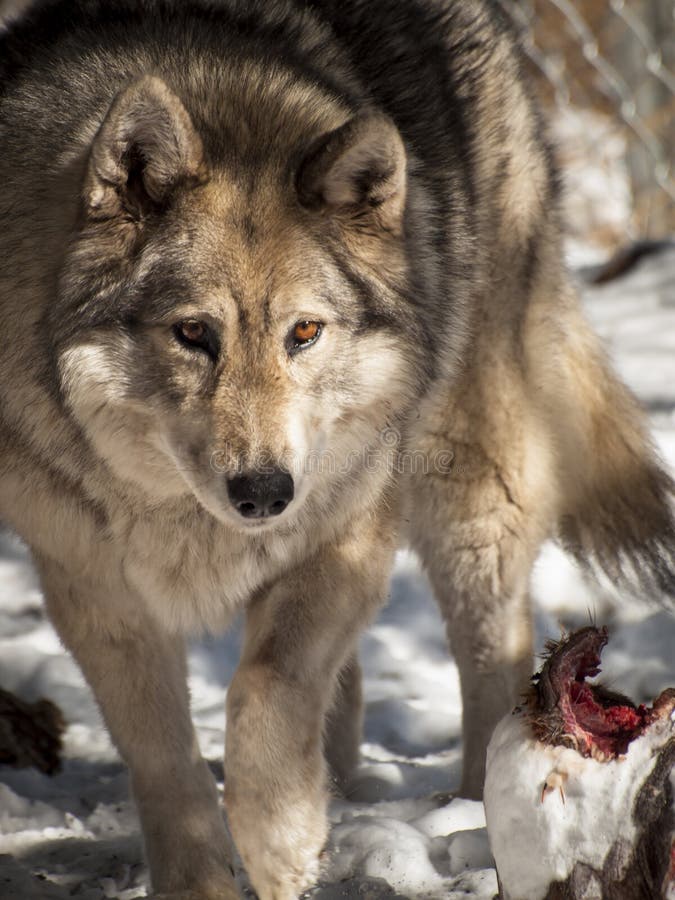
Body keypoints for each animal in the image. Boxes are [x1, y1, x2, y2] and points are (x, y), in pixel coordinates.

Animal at [0, 0, 673, 897]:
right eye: (193, 334)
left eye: (304, 332)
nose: (263, 493)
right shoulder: (95, 591)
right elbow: (167, 763)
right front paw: (216, 872)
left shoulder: (344, 534)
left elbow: (264, 687)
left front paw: (280, 841)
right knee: (346, 683)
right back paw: (344, 788)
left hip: (465, 488)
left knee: (494, 653)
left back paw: (470, 812)